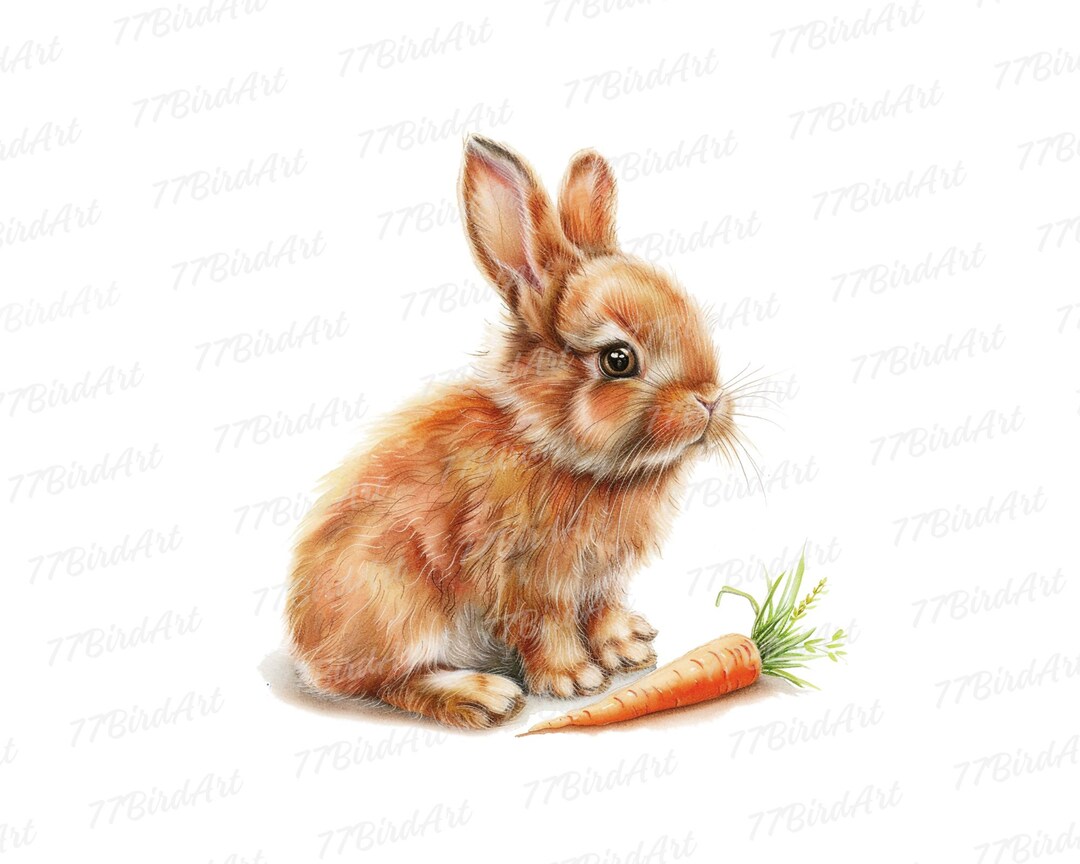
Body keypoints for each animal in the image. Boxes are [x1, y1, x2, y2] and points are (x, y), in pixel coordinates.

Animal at [286, 134, 741, 729]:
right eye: (618, 360)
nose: (709, 400)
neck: (555, 449)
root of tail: (306, 647)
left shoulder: (600, 579)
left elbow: (601, 610)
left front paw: (627, 649)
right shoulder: (528, 577)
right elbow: (547, 626)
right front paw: (574, 680)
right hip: (394, 603)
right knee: (387, 683)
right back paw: (482, 695)